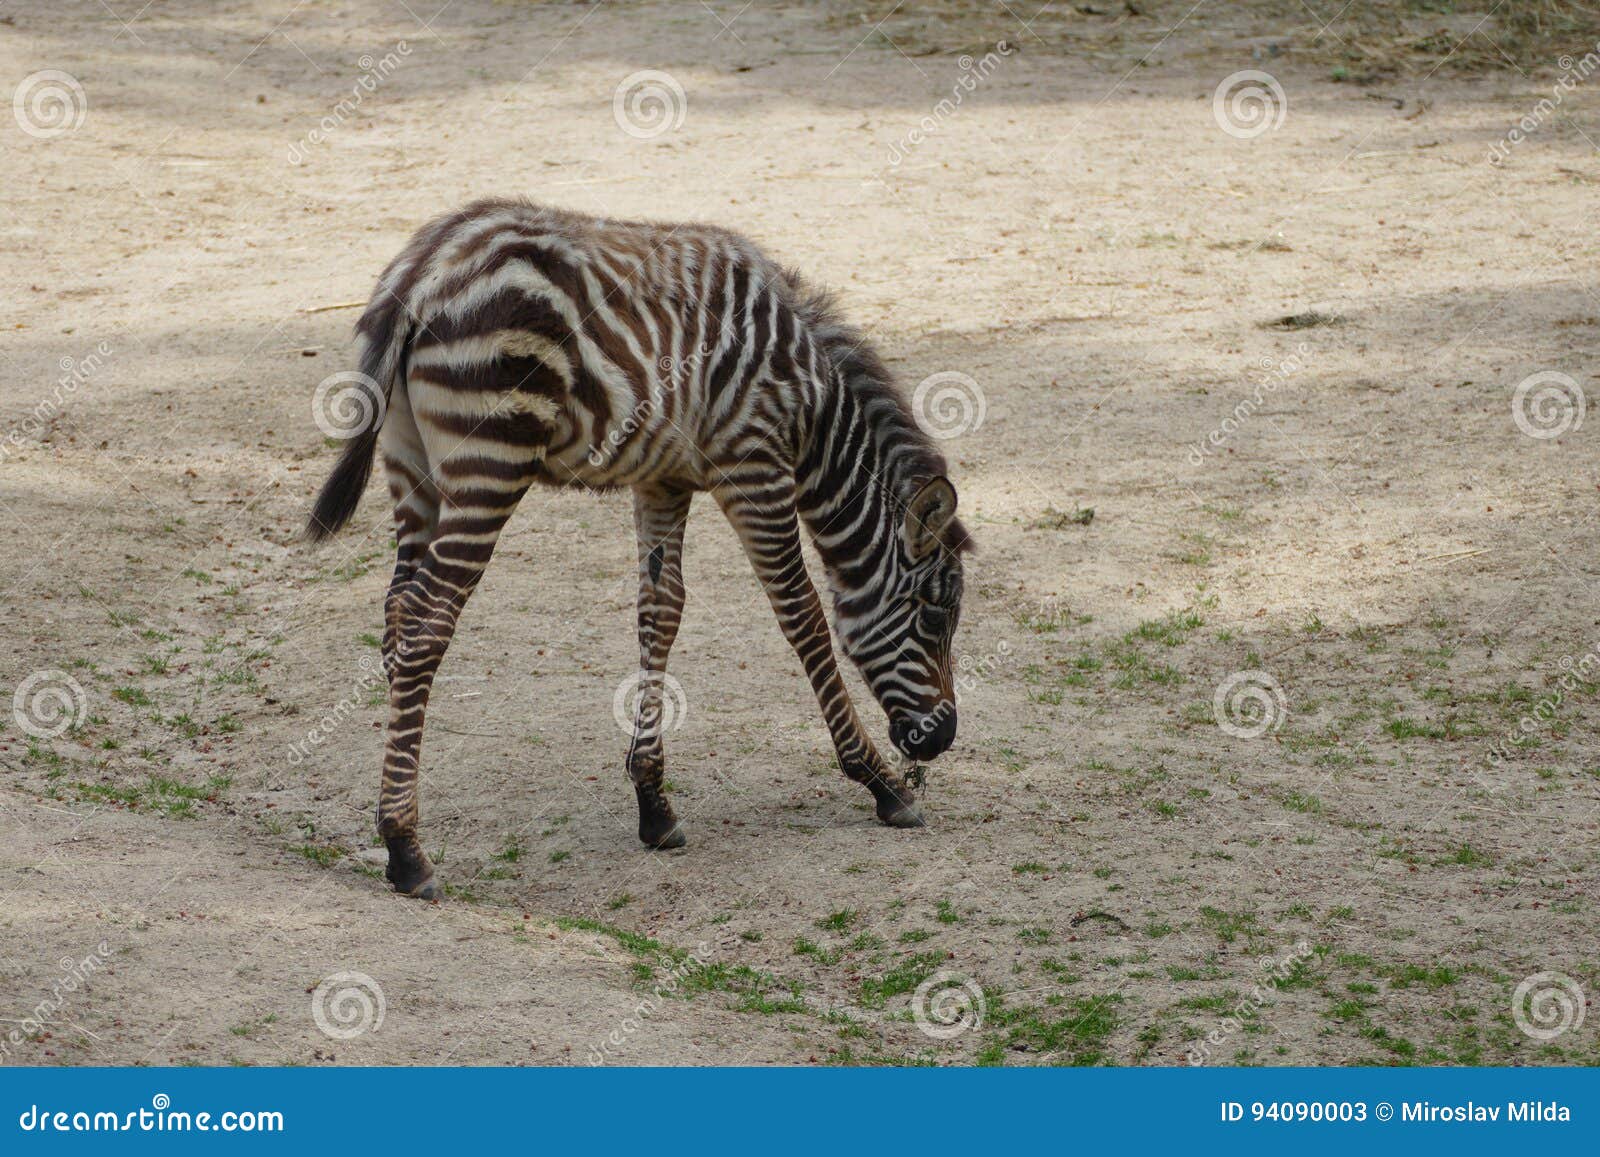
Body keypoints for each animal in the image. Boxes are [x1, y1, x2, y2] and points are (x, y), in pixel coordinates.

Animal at [305, 199, 970, 900]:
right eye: (935, 615)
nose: (943, 739)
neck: (811, 409)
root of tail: (423, 268)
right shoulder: (754, 468)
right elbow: (804, 617)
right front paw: (880, 782)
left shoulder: (664, 479)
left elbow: (662, 611)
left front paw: (654, 802)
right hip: (489, 463)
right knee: (427, 623)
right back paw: (406, 849)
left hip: (411, 464)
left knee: (397, 617)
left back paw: (394, 821)